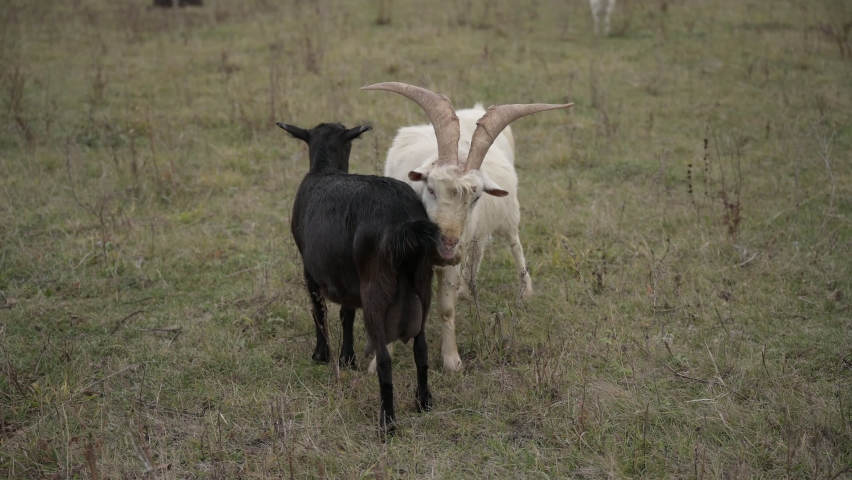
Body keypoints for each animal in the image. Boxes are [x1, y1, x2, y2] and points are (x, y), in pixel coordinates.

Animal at [279, 121, 440, 432]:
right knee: (421, 348)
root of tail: (404, 222)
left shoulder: (311, 270)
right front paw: (347, 358)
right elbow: (346, 314)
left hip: (375, 290)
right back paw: (423, 402)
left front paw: (322, 355)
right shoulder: (347, 278)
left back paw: (387, 423)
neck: (324, 167)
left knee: (384, 360)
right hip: (422, 285)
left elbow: (319, 312)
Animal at [362, 82, 572, 372]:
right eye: (430, 189)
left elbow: (446, 308)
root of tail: (473, 109)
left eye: (476, 197)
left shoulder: (452, 262)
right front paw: (377, 364)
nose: (448, 243)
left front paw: (452, 361)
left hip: (507, 216)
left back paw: (524, 288)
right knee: (479, 251)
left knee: (513, 244)